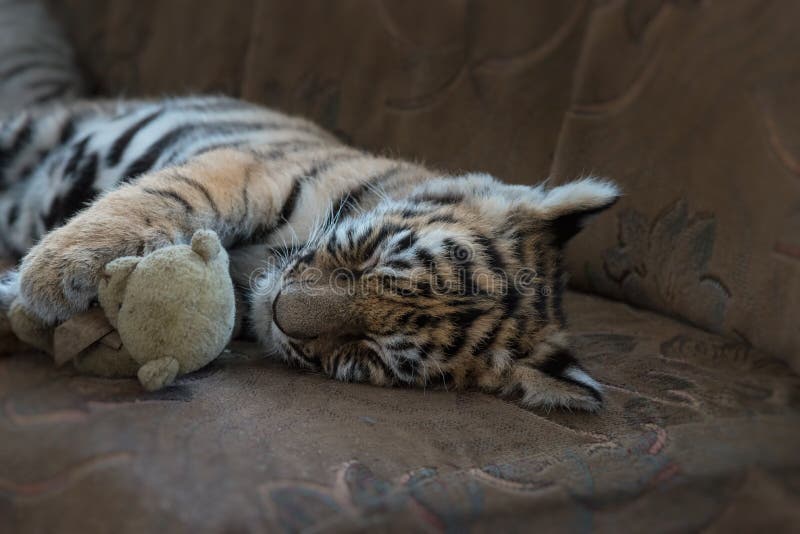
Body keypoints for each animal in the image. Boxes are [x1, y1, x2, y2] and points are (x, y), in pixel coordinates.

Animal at [0, 7, 619, 413]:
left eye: (368, 352)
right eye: (365, 254)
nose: (278, 312)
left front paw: (24, 307)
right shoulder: (252, 168)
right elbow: (169, 197)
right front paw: (52, 274)